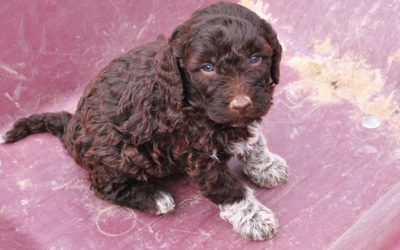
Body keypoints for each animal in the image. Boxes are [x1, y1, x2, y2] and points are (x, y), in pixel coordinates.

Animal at [0, 1, 288, 240]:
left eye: (255, 59)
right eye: (207, 68)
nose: (241, 105)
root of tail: (70, 127)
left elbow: (254, 139)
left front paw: (265, 165)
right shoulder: (197, 154)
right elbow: (227, 188)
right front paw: (254, 218)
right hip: (119, 156)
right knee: (103, 187)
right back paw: (154, 197)